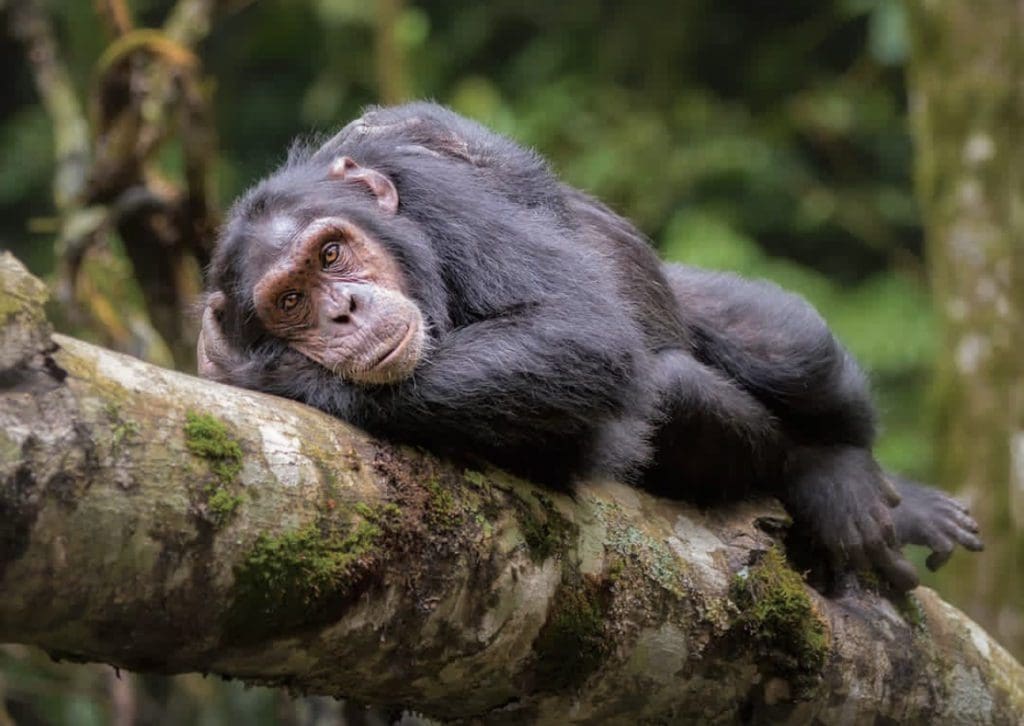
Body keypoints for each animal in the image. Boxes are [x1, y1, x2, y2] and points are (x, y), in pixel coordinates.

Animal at [199, 102, 982, 592]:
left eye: (332, 254)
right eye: (291, 301)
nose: (341, 311)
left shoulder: (442, 197)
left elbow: (577, 330)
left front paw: (281, 377)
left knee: (787, 346)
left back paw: (859, 482)